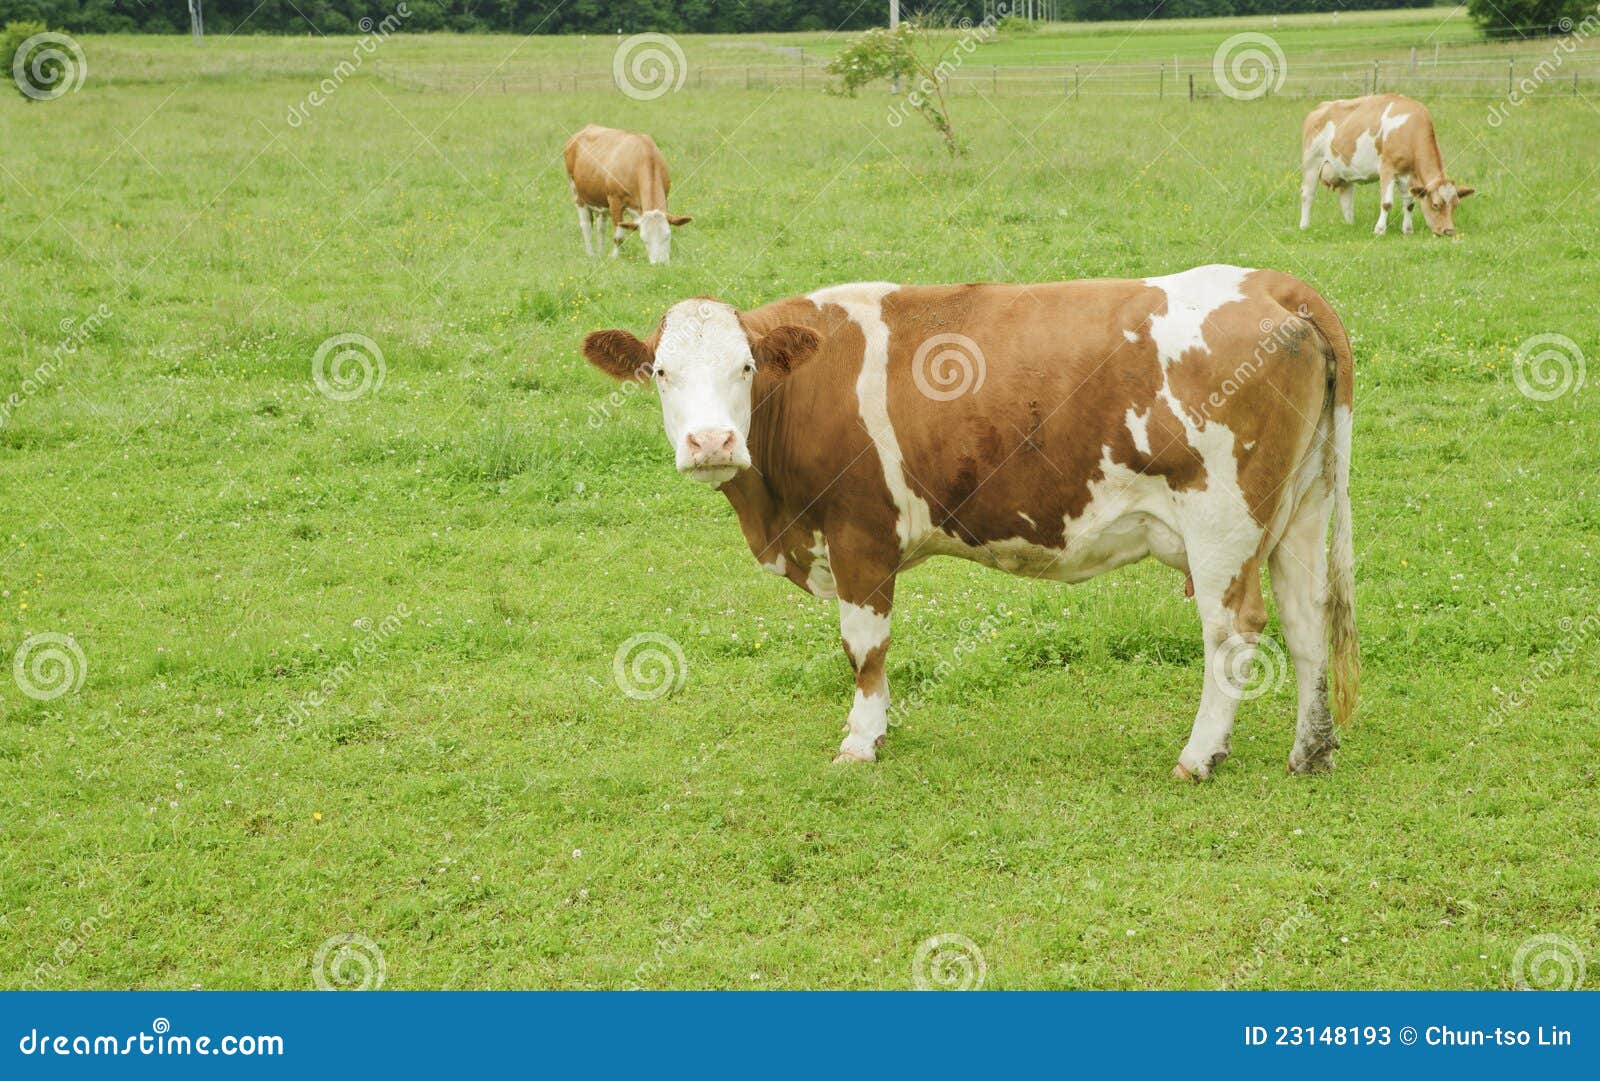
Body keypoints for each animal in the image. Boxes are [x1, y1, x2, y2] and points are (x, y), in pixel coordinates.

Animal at [563, 124, 692, 264]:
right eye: (644, 239)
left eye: (667, 235)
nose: (659, 264)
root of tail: (588, 127)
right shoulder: (615, 200)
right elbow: (618, 236)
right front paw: (614, 257)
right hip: (576, 192)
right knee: (585, 225)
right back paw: (590, 254)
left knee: (601, 226)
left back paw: (600, 253)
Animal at [582, 266, 1359, 779]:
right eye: (660, 372)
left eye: (746, 366)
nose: (710, 442)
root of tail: (1273, 284)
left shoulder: (859, 532)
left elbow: (865, 648)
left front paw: (862, 740)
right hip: (1302, 506)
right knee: (1305, 616)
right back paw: (1310, 749)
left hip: (1223, 520)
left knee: (1233, 631)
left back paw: (1200, 754)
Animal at [1299, 93, 1474, 237]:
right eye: (1436, 205)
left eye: (1456, 205)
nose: (1449, 231)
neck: (1410, 130)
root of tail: (1321, 107)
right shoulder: (1387, 169)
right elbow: (1387, 203)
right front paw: (1379, 230)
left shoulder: (1408, 176)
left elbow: (1409, 204)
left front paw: (1407, 230)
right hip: (1312, 162)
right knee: (1307, 194)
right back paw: (1304, 226)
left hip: (1345, 171)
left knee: (1346, 200)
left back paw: (1350, 225)